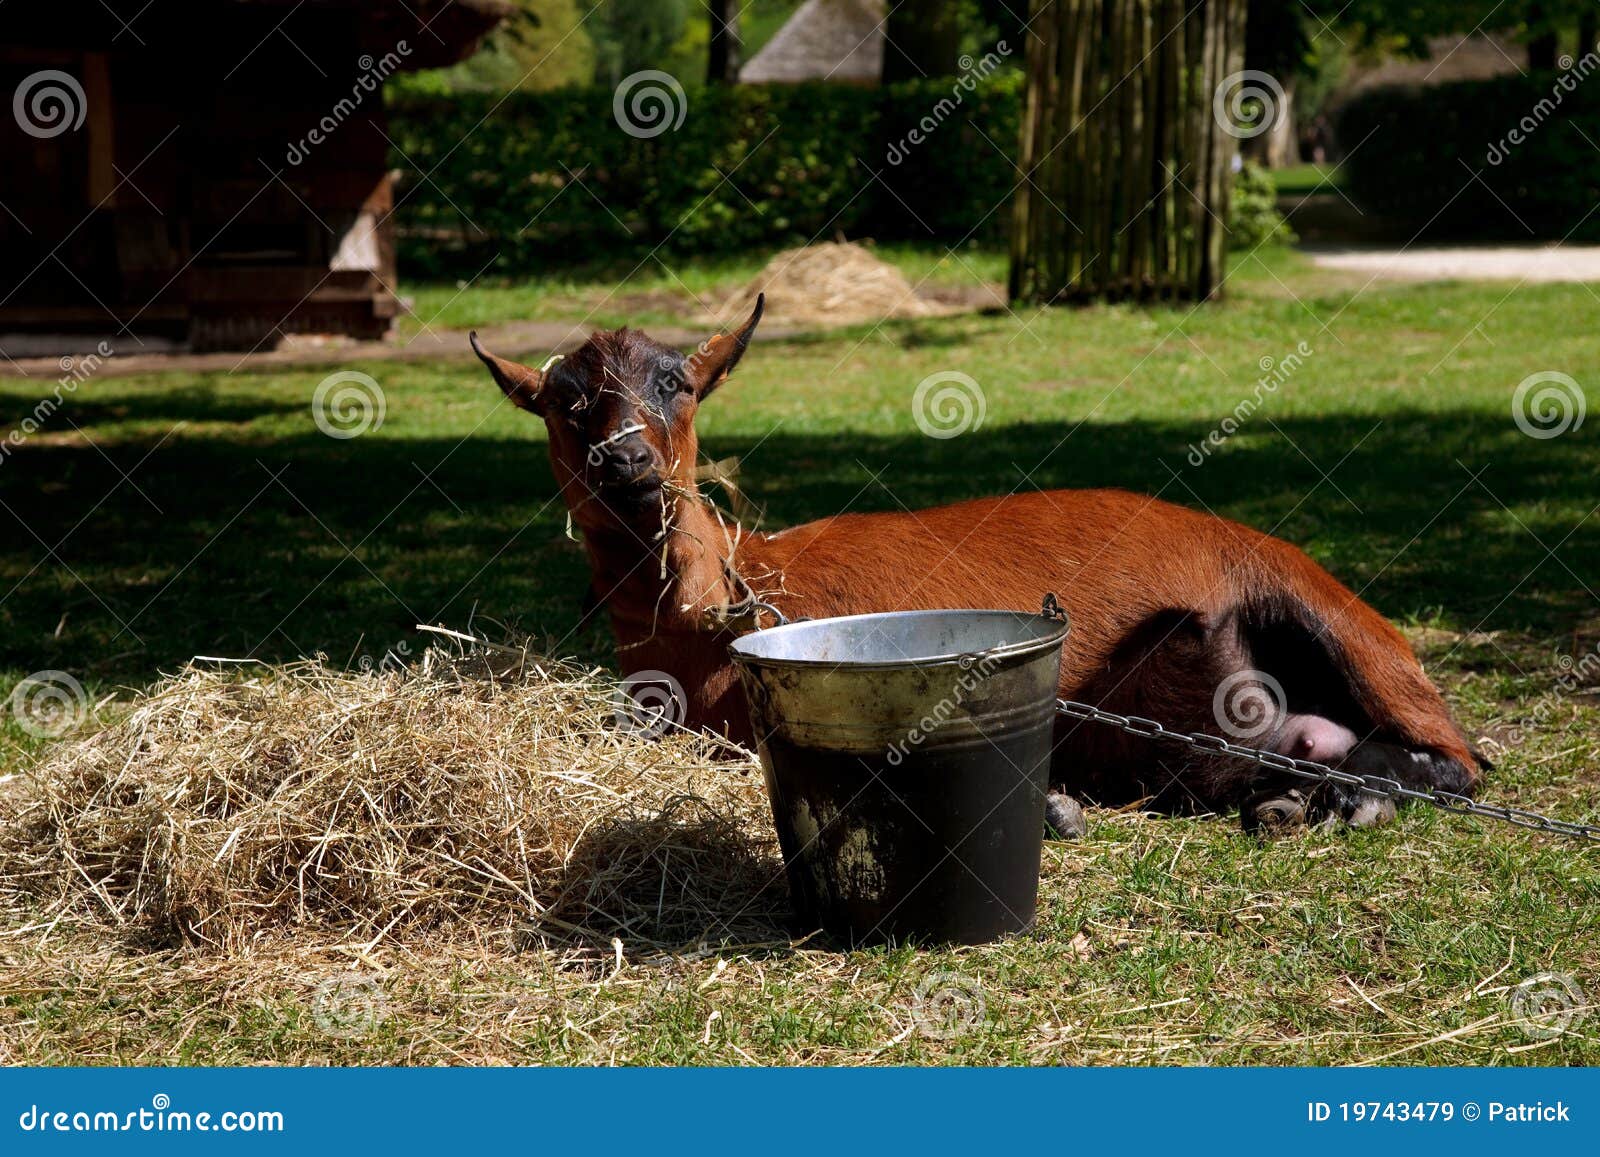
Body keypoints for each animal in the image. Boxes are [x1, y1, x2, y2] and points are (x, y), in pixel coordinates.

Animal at [471, 298, 1483, 829]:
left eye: (676, 382)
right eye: (565, 400)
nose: (626, 461)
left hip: (1340, 629)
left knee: (1462, 761)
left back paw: (1353, 793)